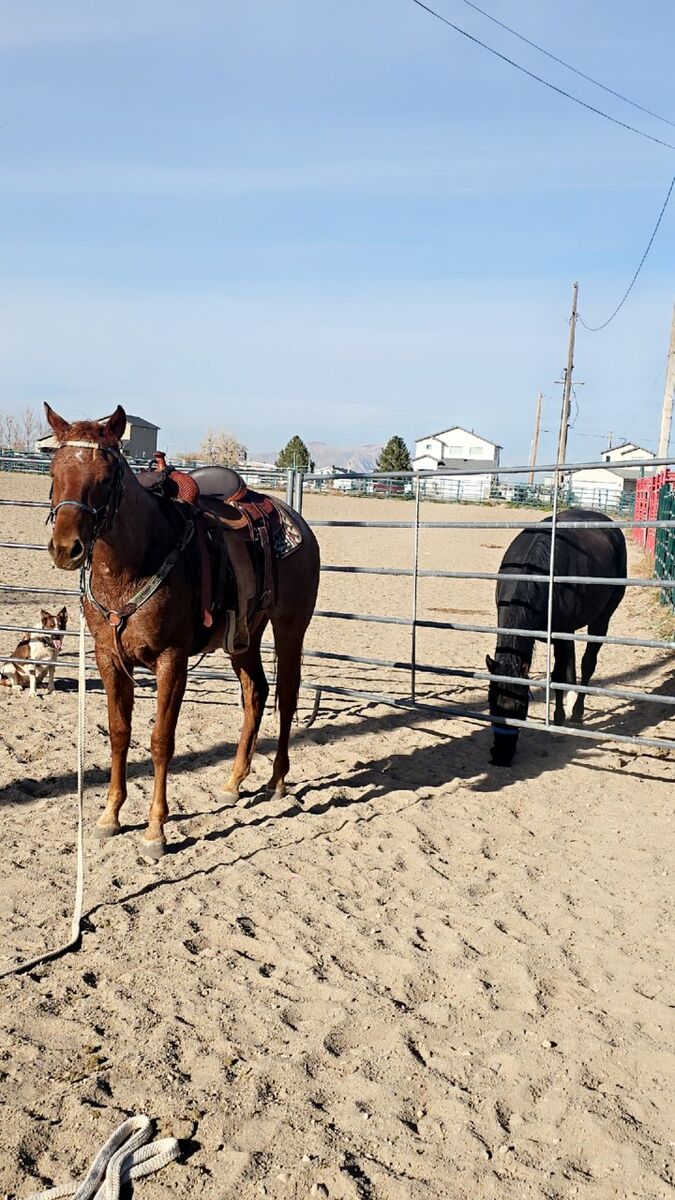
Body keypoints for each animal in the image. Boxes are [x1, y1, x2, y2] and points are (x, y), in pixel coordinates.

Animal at [44, 404, 320, 858]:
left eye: (106, 478)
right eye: (53, 471)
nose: (66, 549)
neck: (132, 563)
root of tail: (297, 522)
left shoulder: (171, 660)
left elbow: (161, 741)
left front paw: (155, 830)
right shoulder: (108, 658)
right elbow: (119, 733)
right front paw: (110, 816)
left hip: (290, 628)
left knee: (288, 694)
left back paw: (278, 779)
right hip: (244, 638)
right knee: (256, 693)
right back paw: (233, 781)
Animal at [486, 508, 626, 767]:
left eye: (521, 706)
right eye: (492, 705)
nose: (500, 757)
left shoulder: (561, 635)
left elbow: (558, 675)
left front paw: (558, 720)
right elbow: (561, 672)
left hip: (601, 619)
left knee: (587, 664)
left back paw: (577, 711)